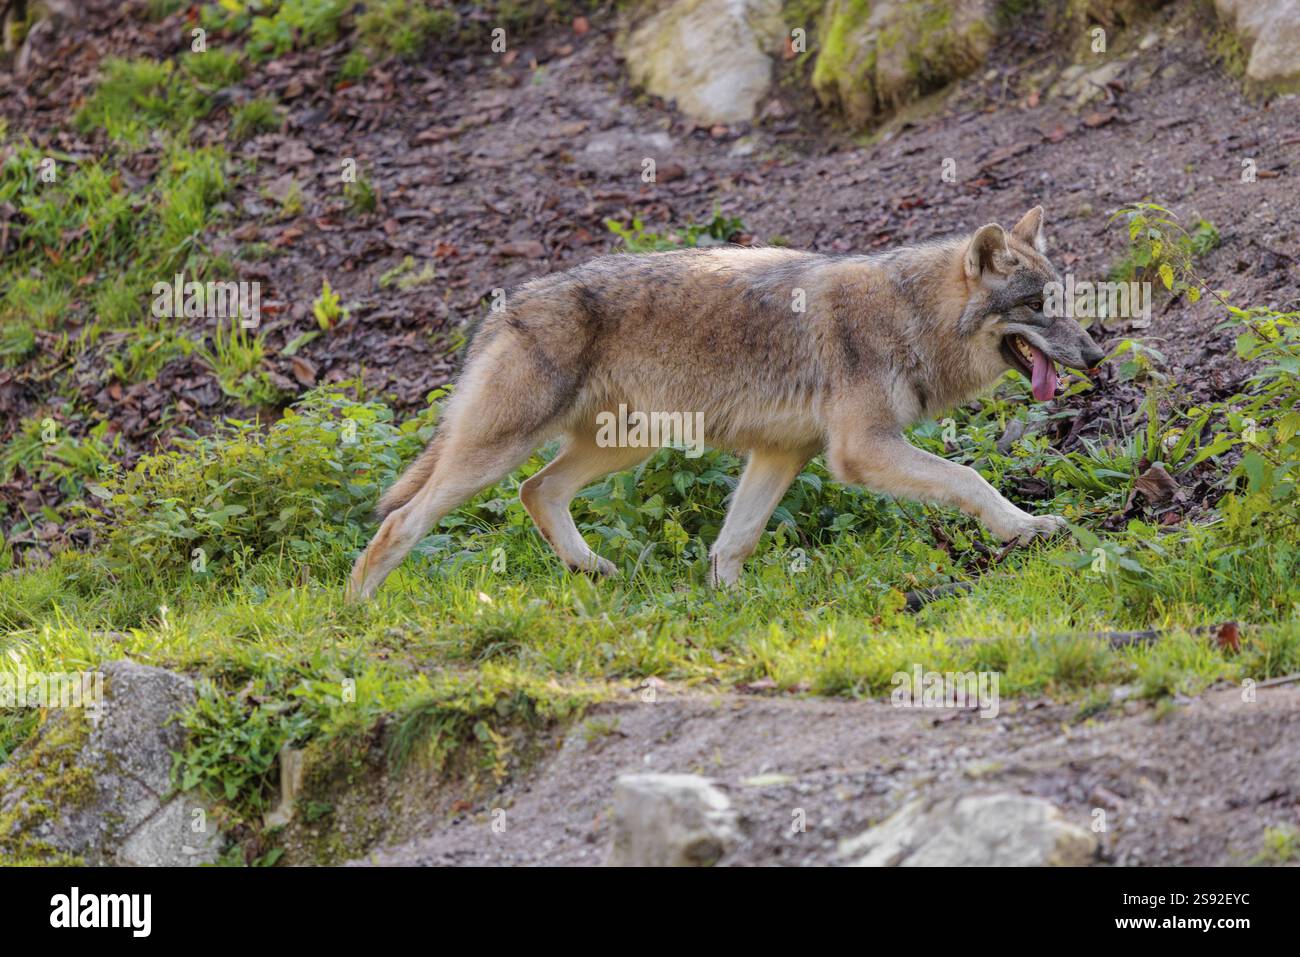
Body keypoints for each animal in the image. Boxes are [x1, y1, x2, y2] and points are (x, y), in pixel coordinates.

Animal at [346, 206, 1105, 601]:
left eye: (1062, 301)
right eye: (1038, 307)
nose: (1098, 357)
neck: (910, 315)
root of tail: (506, 305)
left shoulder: (781, 454)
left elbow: (733, 541)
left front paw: (731, 602)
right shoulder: (860, 452)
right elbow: (971, 479)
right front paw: (1025, 529)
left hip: (624, 445)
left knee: (539, 492)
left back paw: (594, 571)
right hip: (496, 454)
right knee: (400, 524)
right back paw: (358, 611)